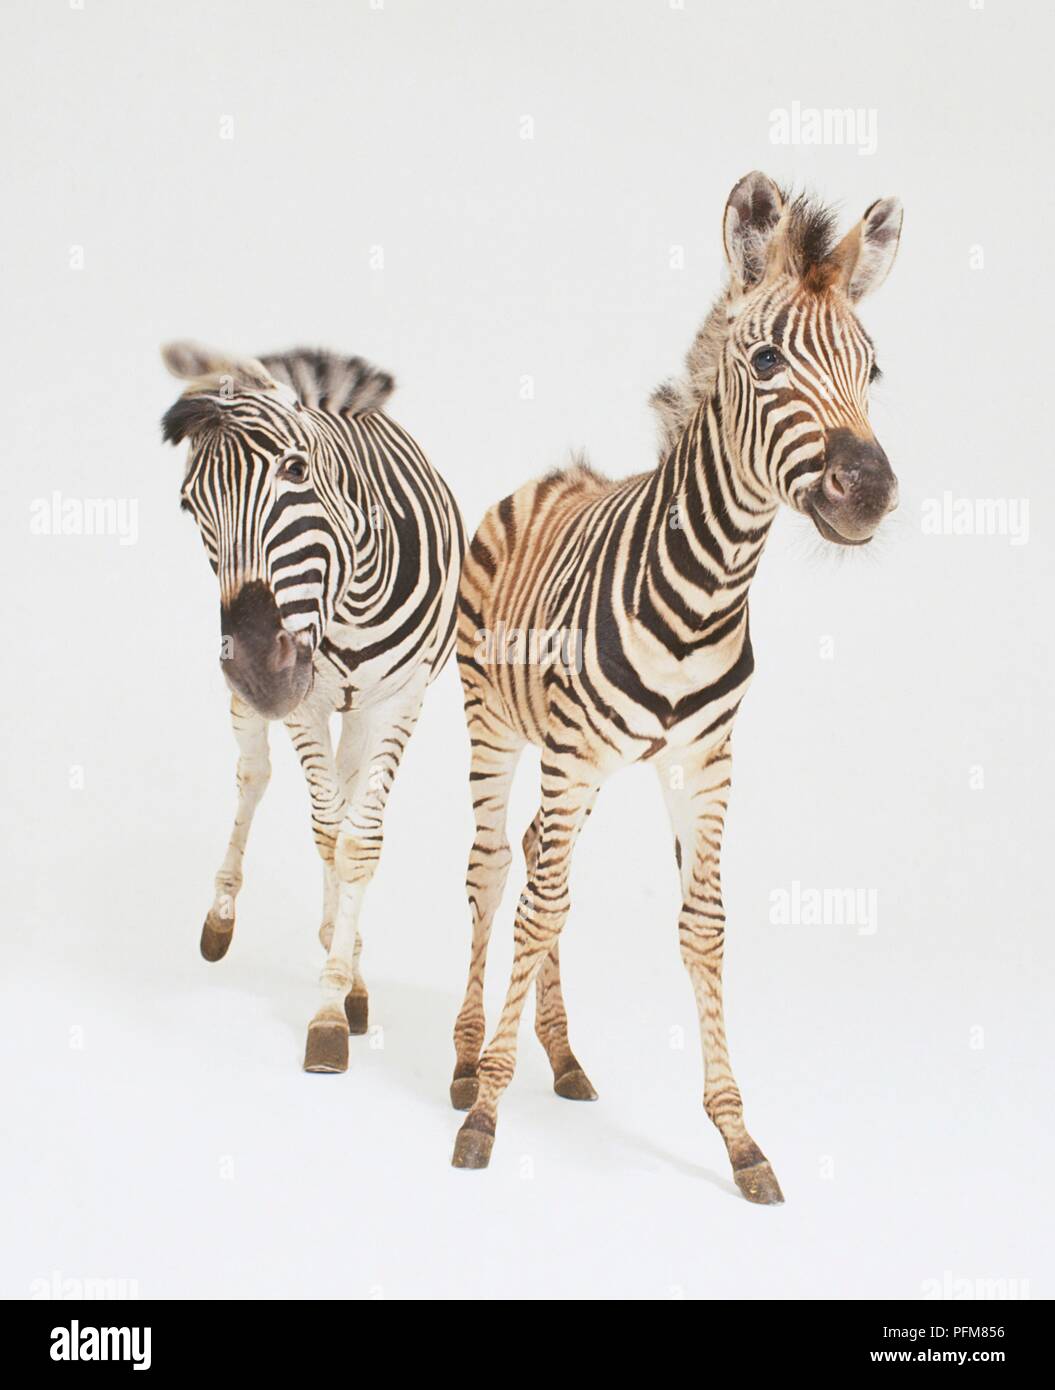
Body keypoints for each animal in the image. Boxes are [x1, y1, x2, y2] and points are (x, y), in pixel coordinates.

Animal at [161, 342, 465, 1074]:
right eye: (189, 505)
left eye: (295, 471)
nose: (254, 671)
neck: (351, 597)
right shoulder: (303, 702)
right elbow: (328, 832)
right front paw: (331, 1001)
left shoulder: (402, 699)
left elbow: (356, 840)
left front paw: (341, 988)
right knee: (253, 777)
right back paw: (223, 918)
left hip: (357, 710)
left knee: (342, 798)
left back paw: (345, 952)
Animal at [449, 173, 902, 1202]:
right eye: (766, 359)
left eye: (873, 372)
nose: (867, 489)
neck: (705, 592)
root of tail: (546, 479)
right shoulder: (571, 755)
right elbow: (537, 906)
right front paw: (487, 1111)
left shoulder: (705, 763)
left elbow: (702, 927)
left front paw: (738, 1139)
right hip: (496, 725)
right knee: (496, 870)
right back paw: (463, 1059)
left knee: (533, 858)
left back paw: (561, 1056)